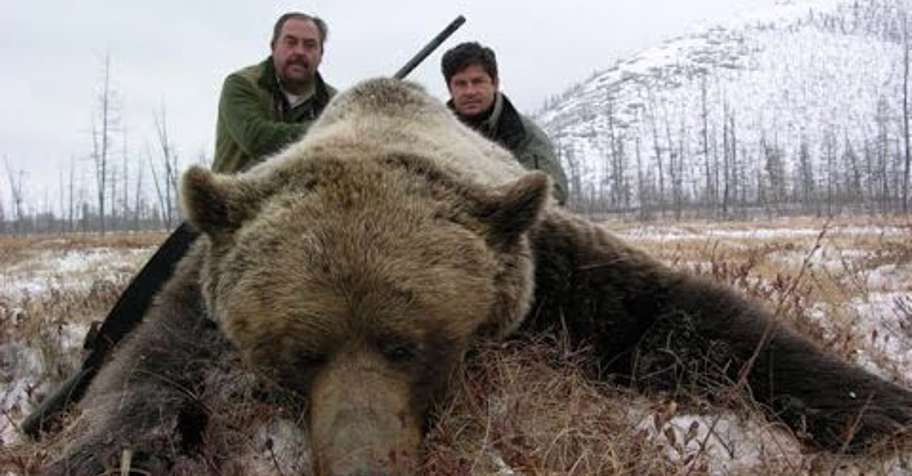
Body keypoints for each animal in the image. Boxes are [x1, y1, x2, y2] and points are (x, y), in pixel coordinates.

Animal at [42, 78, 912, 475]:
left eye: (408, 344)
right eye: (299, 353)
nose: (363, 463)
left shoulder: (550, 267)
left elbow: (690, 322)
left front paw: (882, 407)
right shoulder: (201, 293)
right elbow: (147, 371)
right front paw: (111, 453)